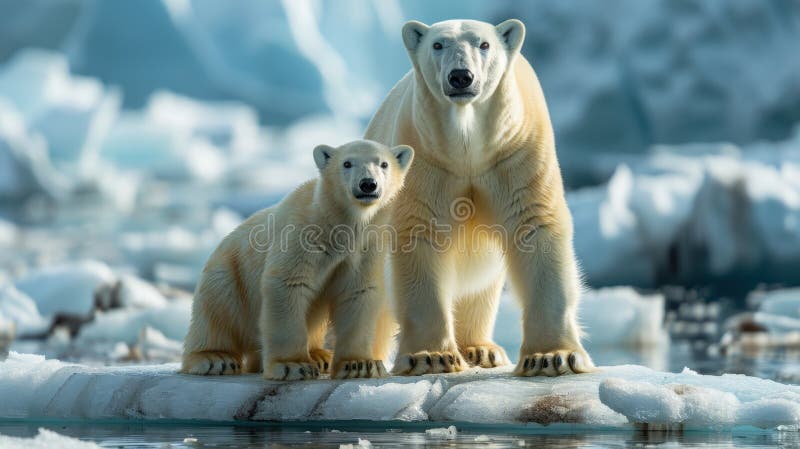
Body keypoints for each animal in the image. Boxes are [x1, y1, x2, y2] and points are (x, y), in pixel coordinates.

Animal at [181, 140, 414, 380]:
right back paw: (215, 358)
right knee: (218, 308)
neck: (339, 224)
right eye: (347, 163)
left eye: (384, 164)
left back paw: (320, 355)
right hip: (230, 273)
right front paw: (292, 365)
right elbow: (288, 284)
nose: (368, 184)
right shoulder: (302, 234)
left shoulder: (366, 247)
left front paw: (359, 365)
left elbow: (358, 292)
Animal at [363, 19, 595, 376]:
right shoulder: (424, 156)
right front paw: (432, 356)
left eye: (483, 44)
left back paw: (481, 349)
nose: (461, 76)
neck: (467, 145)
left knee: (479, 289)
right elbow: (419, 232)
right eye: (438, 45)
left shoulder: (517, 151)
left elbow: (534, 226)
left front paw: (553, 356)